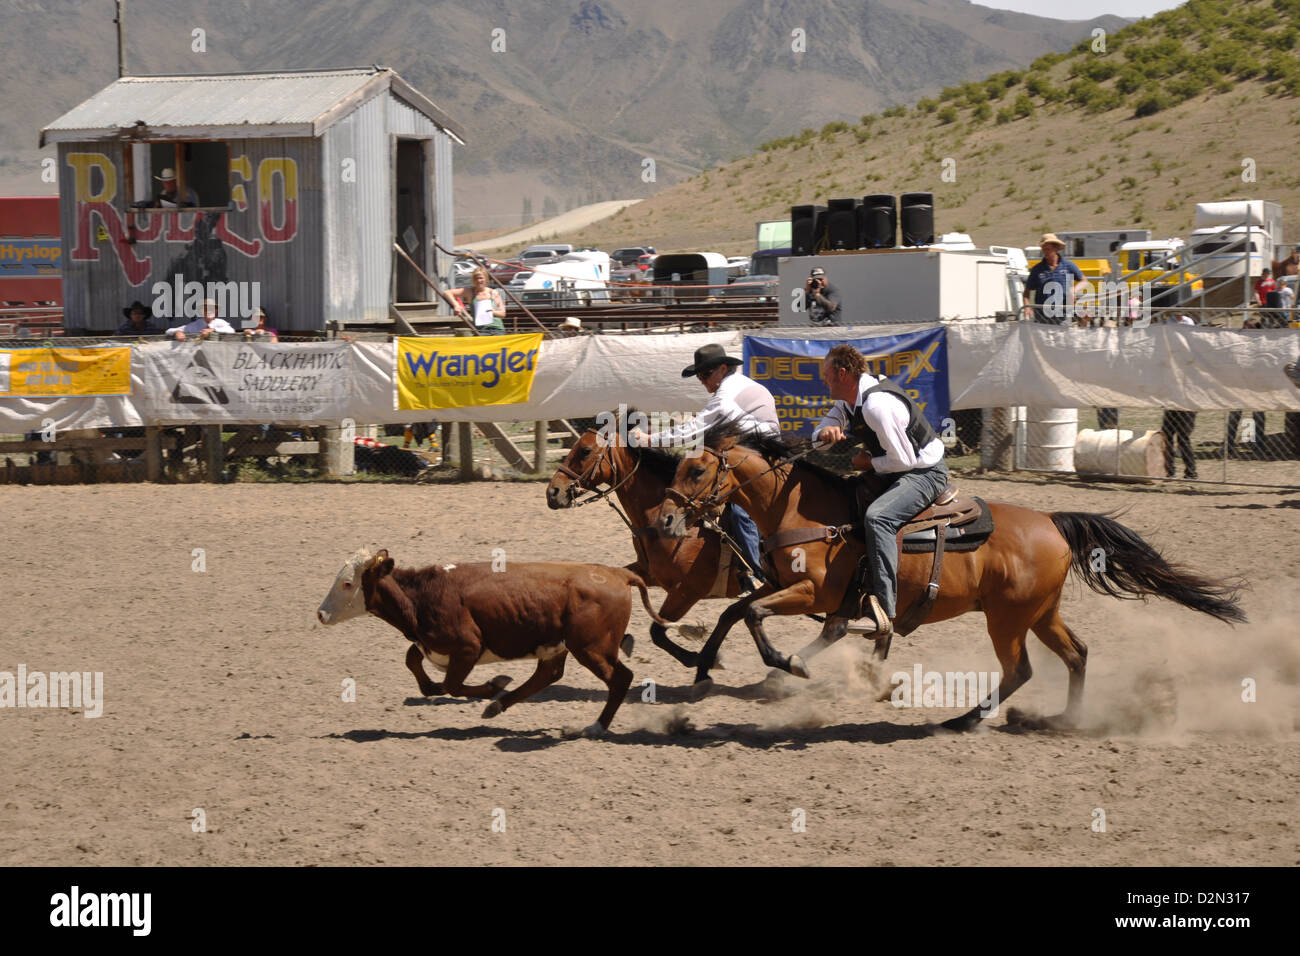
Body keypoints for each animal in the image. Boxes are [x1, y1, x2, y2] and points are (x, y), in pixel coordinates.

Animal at [317, 549, 669, 736]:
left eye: (347, 584)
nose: (321, 614)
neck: (422, 596)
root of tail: (618, 575)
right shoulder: (431, 645)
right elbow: (414, 661)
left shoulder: (468, 647)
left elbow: (452, 685)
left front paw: (494, 683)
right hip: (558, 645)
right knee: (548, 674)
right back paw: (498, 706)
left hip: (591, 648)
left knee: (620, 678)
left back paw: (594, 727)